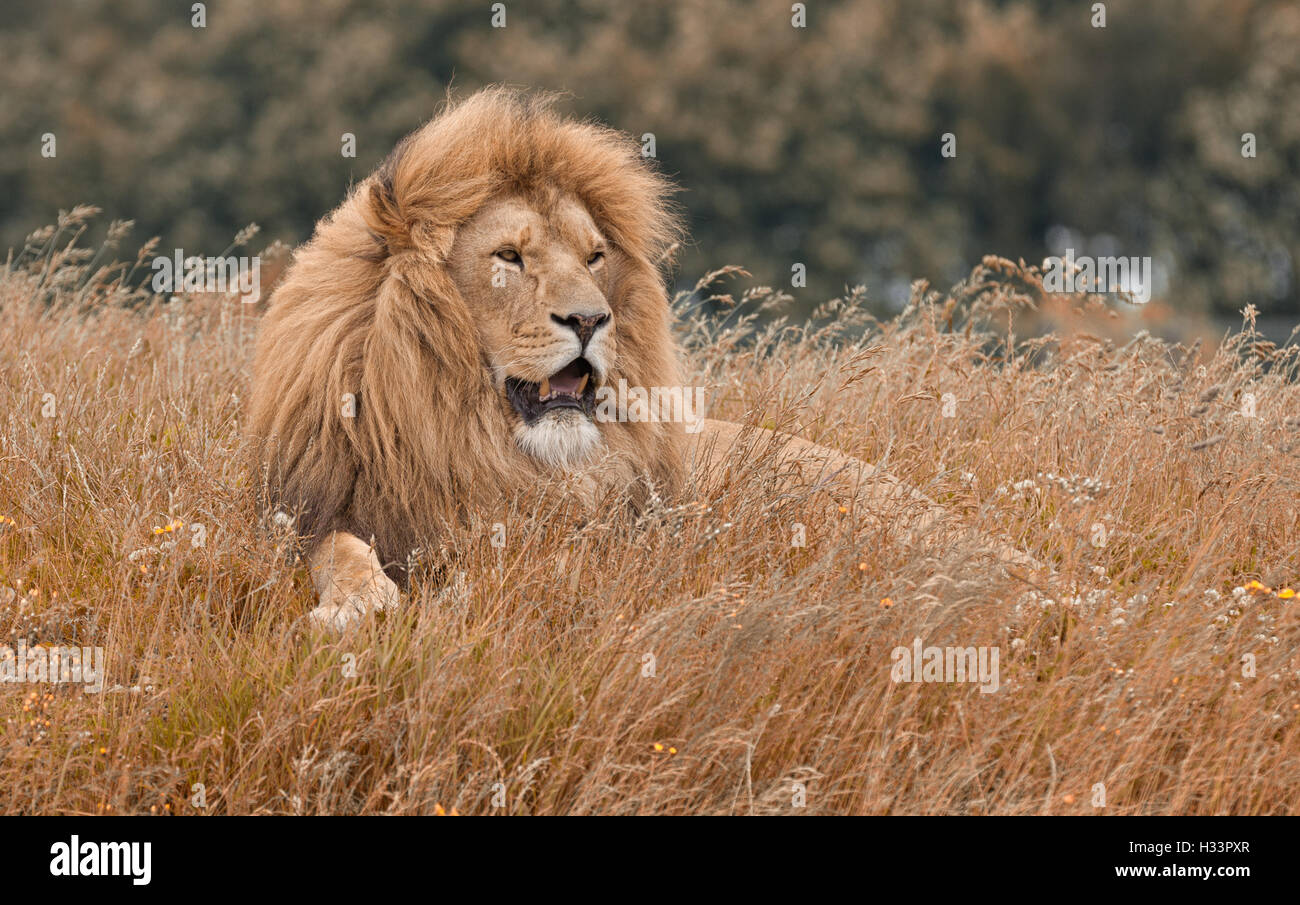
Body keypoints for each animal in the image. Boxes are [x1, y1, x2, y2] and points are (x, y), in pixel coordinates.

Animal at [250, 88, 1032, 631]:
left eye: (595, 256)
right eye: (509, 256)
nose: (591, 319)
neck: (468, 439)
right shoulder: (309, 513)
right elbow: (337, 549)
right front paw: (359, 605)